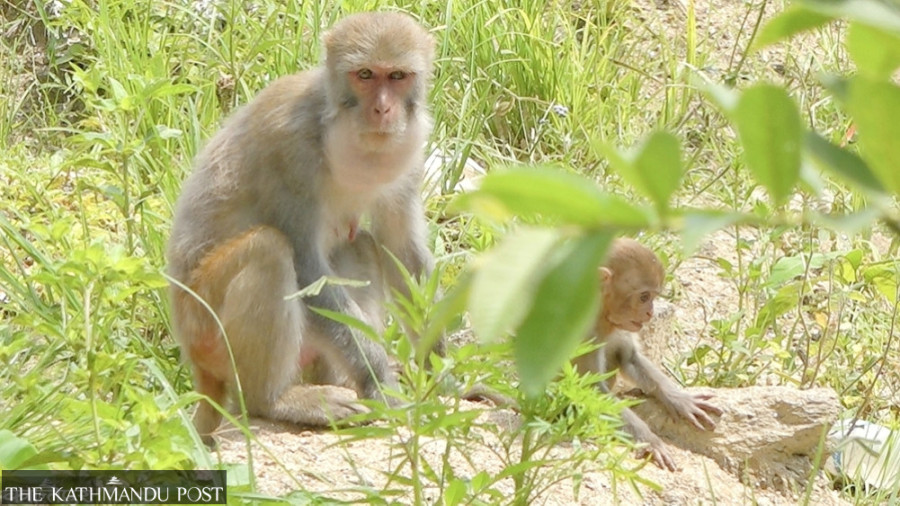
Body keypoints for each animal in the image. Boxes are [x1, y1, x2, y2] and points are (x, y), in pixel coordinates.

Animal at [166, 12, 436, 440]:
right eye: (364, 74)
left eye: (397, 76)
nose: (382, 110)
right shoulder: (288, 150)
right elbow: (309, 271)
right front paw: (382, 384)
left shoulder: (410, 150)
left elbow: (401, 251)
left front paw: (443, 372)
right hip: (206, 331)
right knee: (269, 250)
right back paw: (275, 401)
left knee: (358, 244)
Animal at [571, 238, 723, 471]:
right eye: (644, 297)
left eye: (653, 297)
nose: (650, 312)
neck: (603, 318)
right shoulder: (584, 334)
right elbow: (591, 388)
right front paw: (649, 440)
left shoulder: (624, 326)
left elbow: (630, 358)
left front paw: (680, 399)